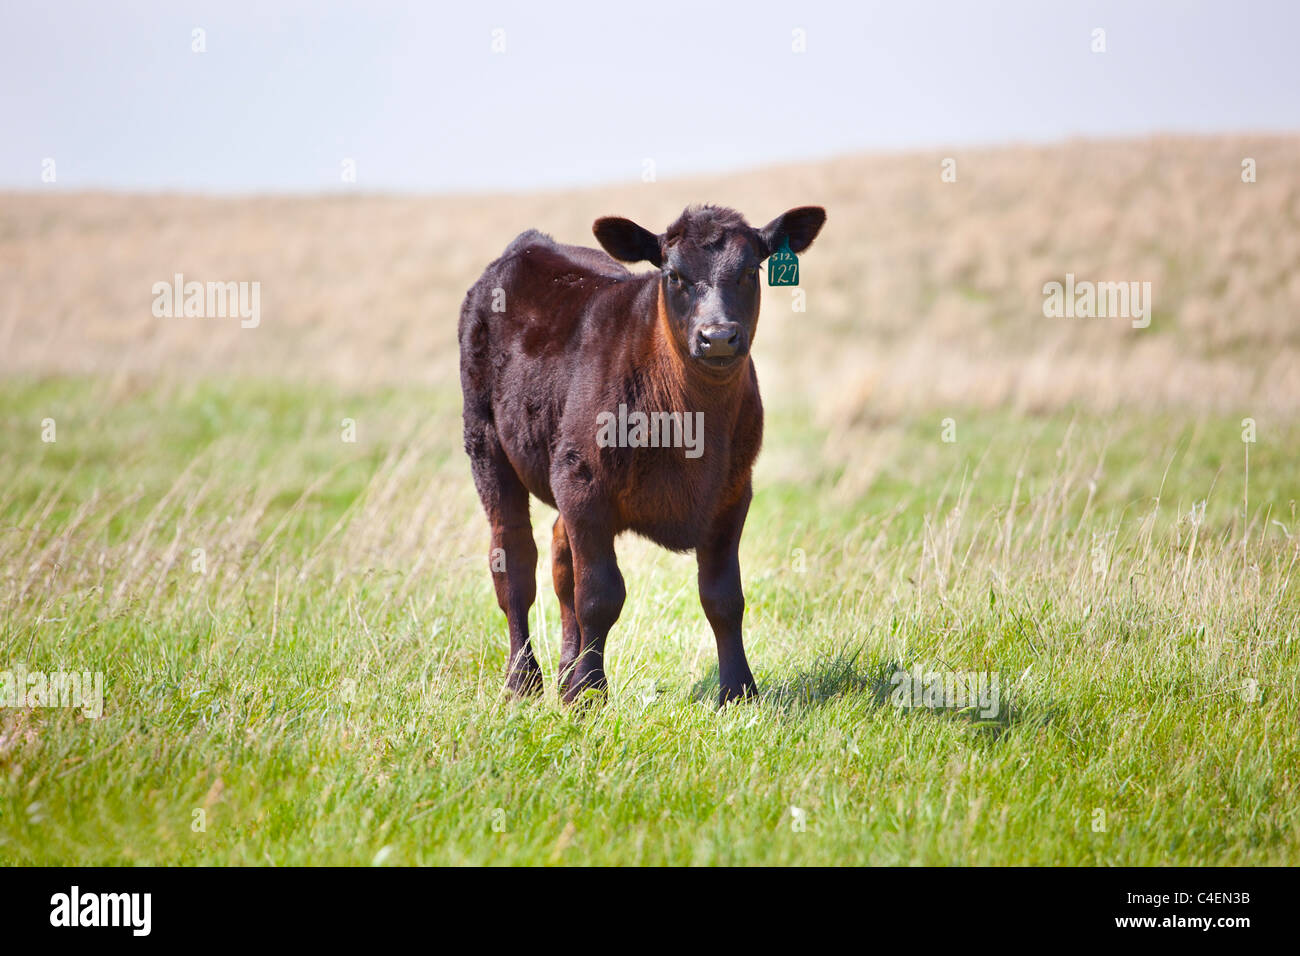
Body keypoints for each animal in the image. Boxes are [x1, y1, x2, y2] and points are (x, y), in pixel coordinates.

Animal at [459, 204, 826, 705]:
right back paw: (524, 680)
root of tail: (528, 245)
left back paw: (564, 673)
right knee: (514, 562)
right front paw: (590, 693)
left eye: (751, 271)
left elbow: (724, 597)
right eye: (673, 275)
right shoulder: (584, 485)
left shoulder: (733, 493)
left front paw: (738, 690)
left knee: (559, 557)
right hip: (486, 443)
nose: (718, 337)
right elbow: (599, 595)